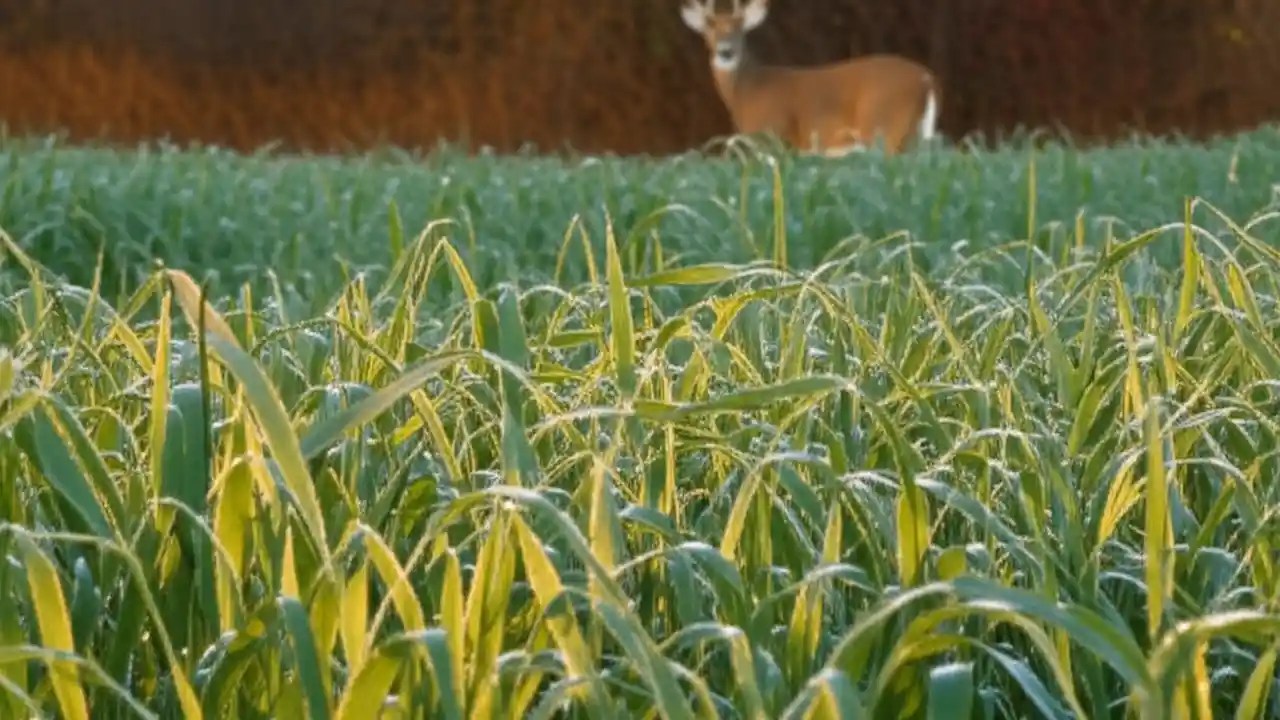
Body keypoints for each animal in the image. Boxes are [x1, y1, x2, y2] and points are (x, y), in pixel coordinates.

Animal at [679, 0, 941, 157]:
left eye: (740, 27)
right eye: (709, 27)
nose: (726, 51)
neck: (748, 91)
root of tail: (925, 78)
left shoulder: (773, 138)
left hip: (884, 127)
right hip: (917, 133)